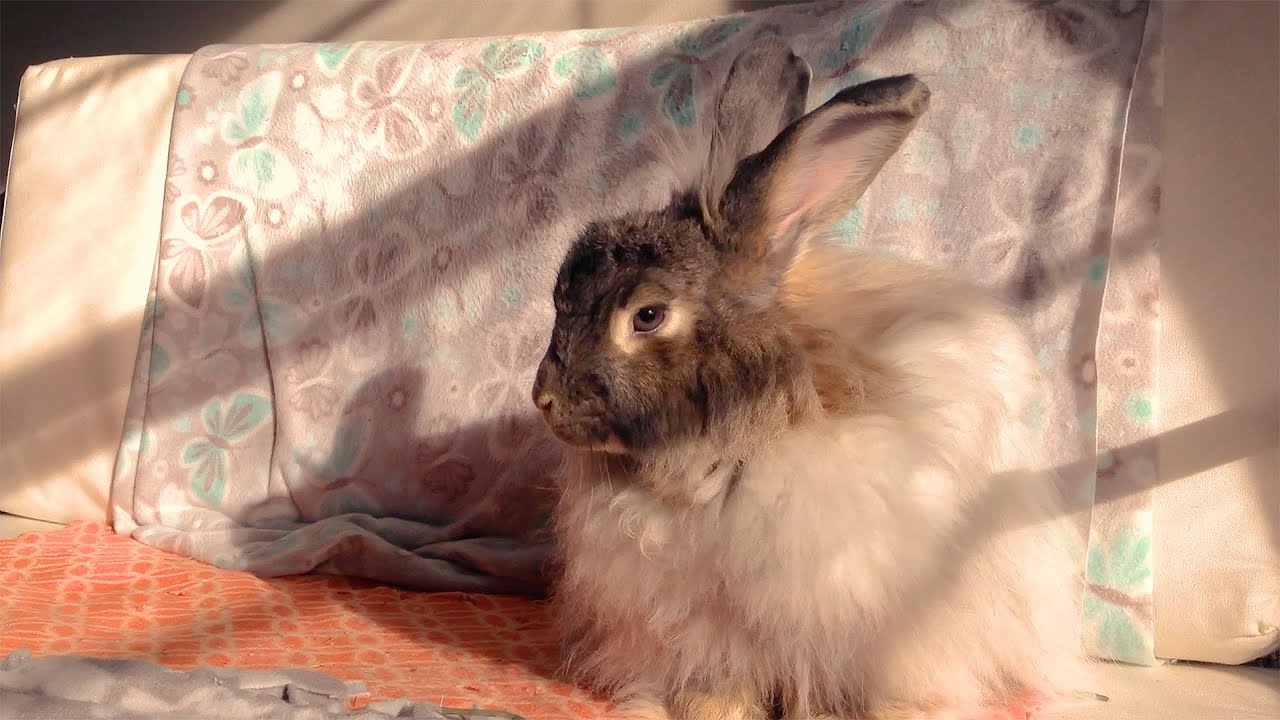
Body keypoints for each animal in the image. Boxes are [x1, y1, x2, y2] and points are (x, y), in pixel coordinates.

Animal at [530, 38, 1091, 720]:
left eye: (648, 316)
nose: (543, 400)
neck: (718, 460)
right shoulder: (703, 628)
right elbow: (722, 677)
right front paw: (710, 708)